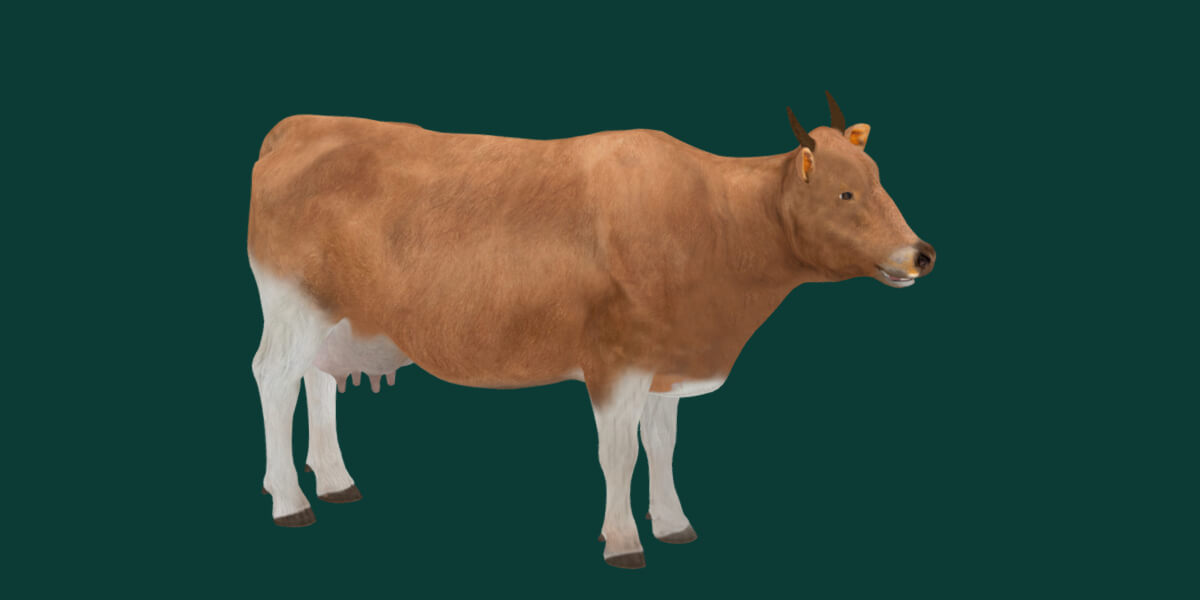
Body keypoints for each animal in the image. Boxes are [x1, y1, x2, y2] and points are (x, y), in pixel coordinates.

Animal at [248, 92, 936, 569]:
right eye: (845, 194)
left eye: (878, 179)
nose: (920, 254)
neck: (716, 223)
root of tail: (302, 124)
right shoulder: (616, 361)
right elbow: (619, 453)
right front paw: (624, 540)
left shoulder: (664, 363)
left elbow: (663, 446)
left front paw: (673, 523)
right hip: (292, 306)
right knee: (275, 380)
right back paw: (289, 501)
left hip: (333, 315)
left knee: (317, 381)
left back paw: (334, 481)